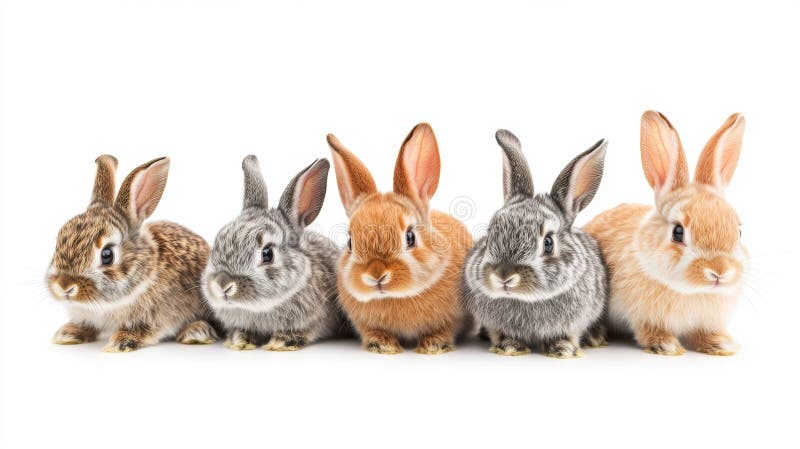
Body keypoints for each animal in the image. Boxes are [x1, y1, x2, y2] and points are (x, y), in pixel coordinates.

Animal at [47, 155, 218, 352]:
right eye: (59, 239)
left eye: (107, 255)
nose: (64, 286)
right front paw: (68, 333)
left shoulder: (157, 317)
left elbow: (145, 329)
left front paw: (120, 342)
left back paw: (196, 332)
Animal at [326, 123, 474, 355]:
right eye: (350, 242)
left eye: (410, 237)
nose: (376, 275)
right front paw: (383, 345)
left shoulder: (454, 318)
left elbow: (444, 329)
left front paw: (433, 345)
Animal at [462, 130, 610, 358]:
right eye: (490, 233)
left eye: (548, 243)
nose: (503, 276)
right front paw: (510, 346)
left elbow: (568, 335)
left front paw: (562, 350)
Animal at [584, 111, 748, 356]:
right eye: (678, 232)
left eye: (738, 231)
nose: (719, 272)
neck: (693, 292)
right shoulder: (644, 316)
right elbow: (650, 330)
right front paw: (666, 346)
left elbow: (705, 332)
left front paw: (722, 345)